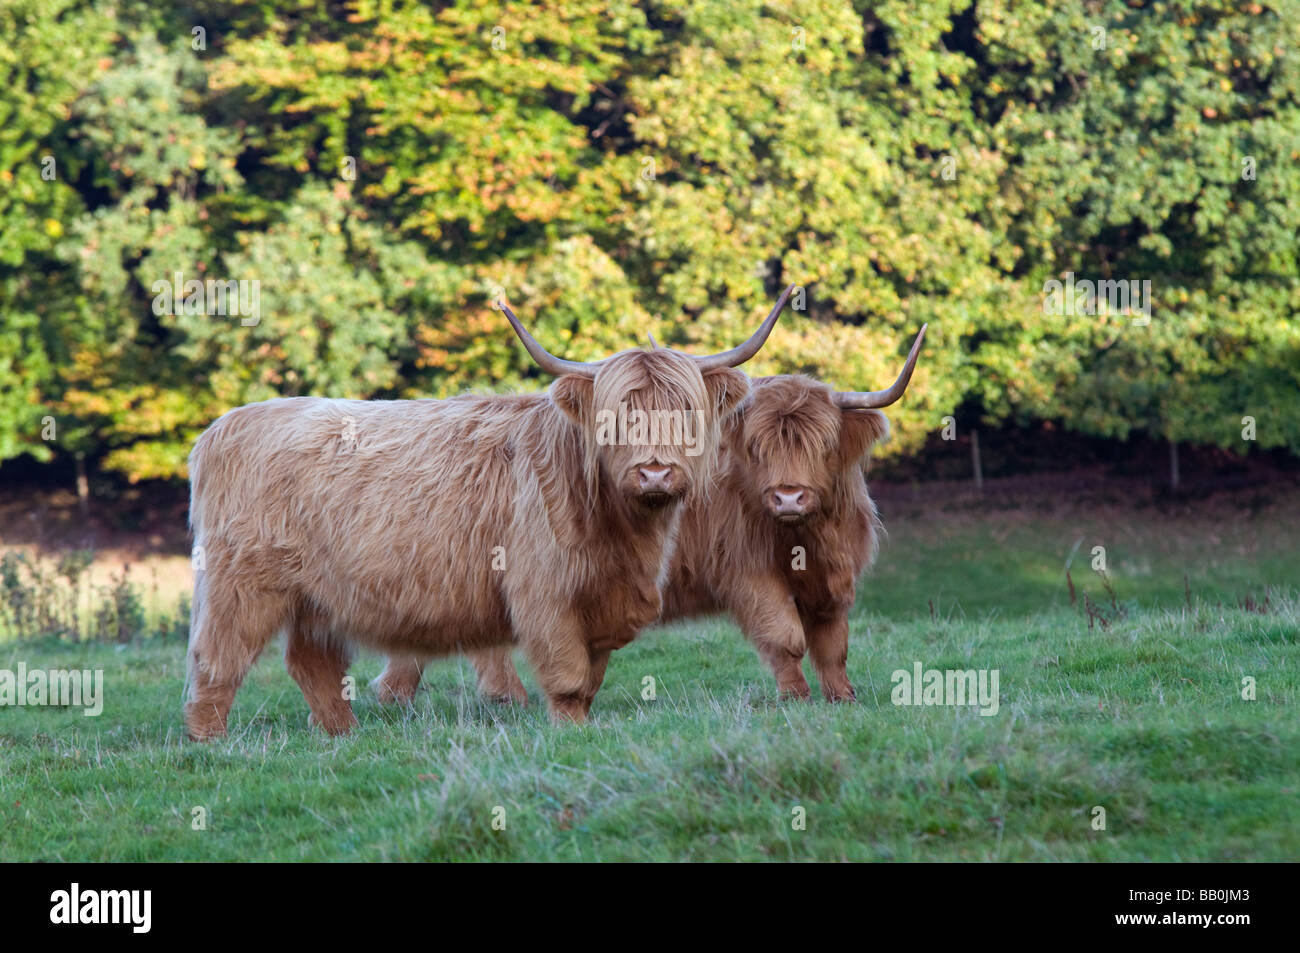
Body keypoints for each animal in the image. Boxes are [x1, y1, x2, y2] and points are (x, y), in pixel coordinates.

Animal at [183, 287, 794, 740]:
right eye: (616, 417)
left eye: (684, 412)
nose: (656, 473)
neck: (621, 530)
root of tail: (226, 425)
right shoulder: (542, 590)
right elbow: (567, 672)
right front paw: (569, 729)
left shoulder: (605, 595)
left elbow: (592, 672)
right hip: (241, 581)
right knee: (216, 657)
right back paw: (208, 740)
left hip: (318, 595)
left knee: (313, 662)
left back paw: (342, 733)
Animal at [376, 325, 925, 706]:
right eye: (756, 446)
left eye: (824, 444)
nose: (789, 497)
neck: (803, 539)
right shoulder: (746, 572)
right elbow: (785, 637)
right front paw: (796, 699)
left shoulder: (834, 576)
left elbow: (833, 645)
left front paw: (843, 699)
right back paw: (497, 696)